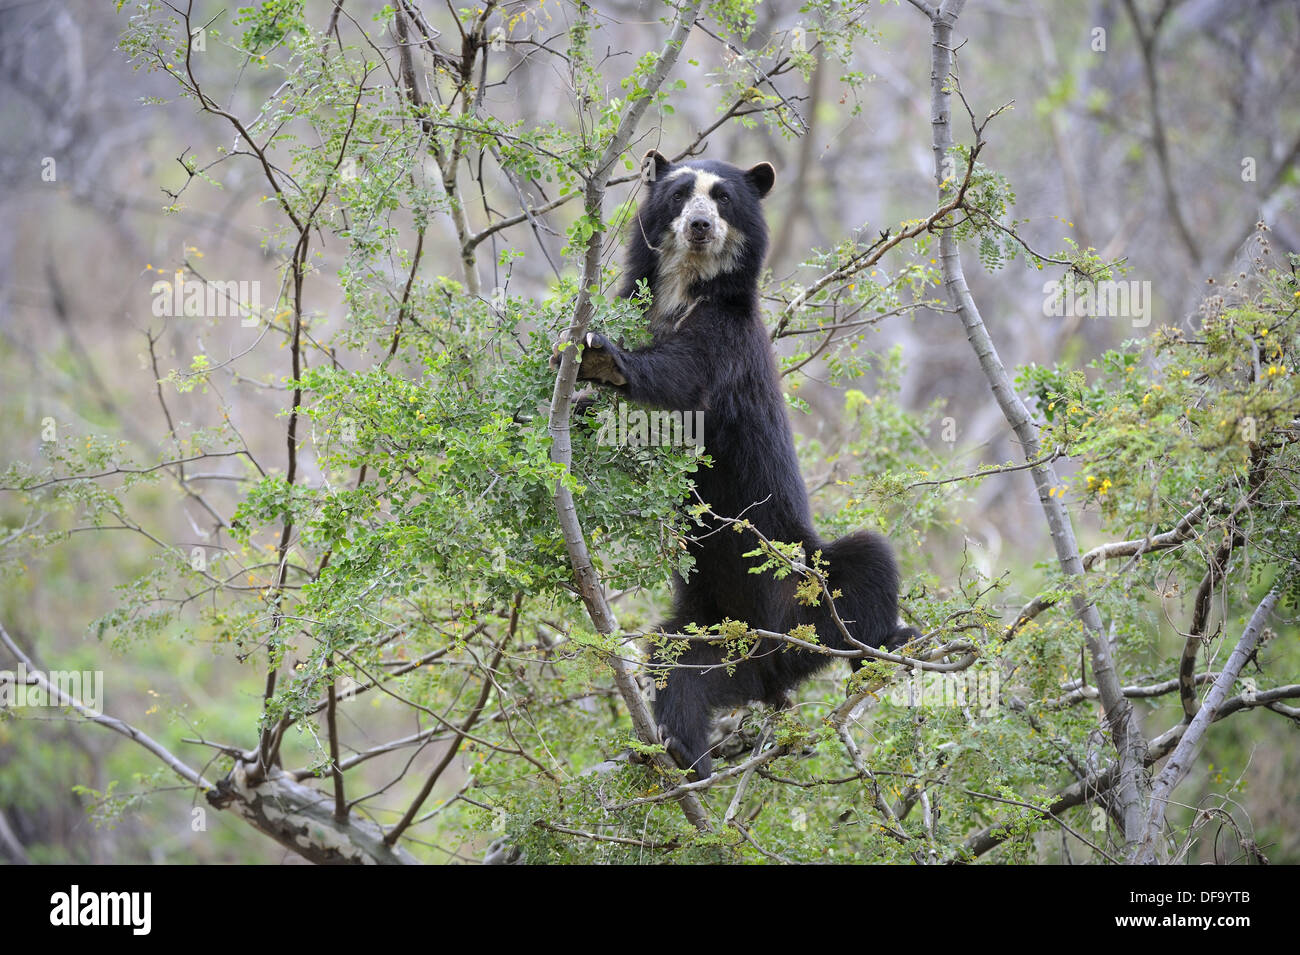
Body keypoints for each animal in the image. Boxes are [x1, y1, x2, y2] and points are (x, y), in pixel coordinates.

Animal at [564, 150, 916, 779]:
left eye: (723, 198)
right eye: (680, 194)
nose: (701, 226)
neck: (685, 288)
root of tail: (772, 660)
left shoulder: (727, 339)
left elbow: (683, 377)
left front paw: (602, 357)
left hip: (805, 585)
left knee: (869, 560)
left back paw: (885, 648)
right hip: (704, 633)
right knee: (675, 668)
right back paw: (682, 752)